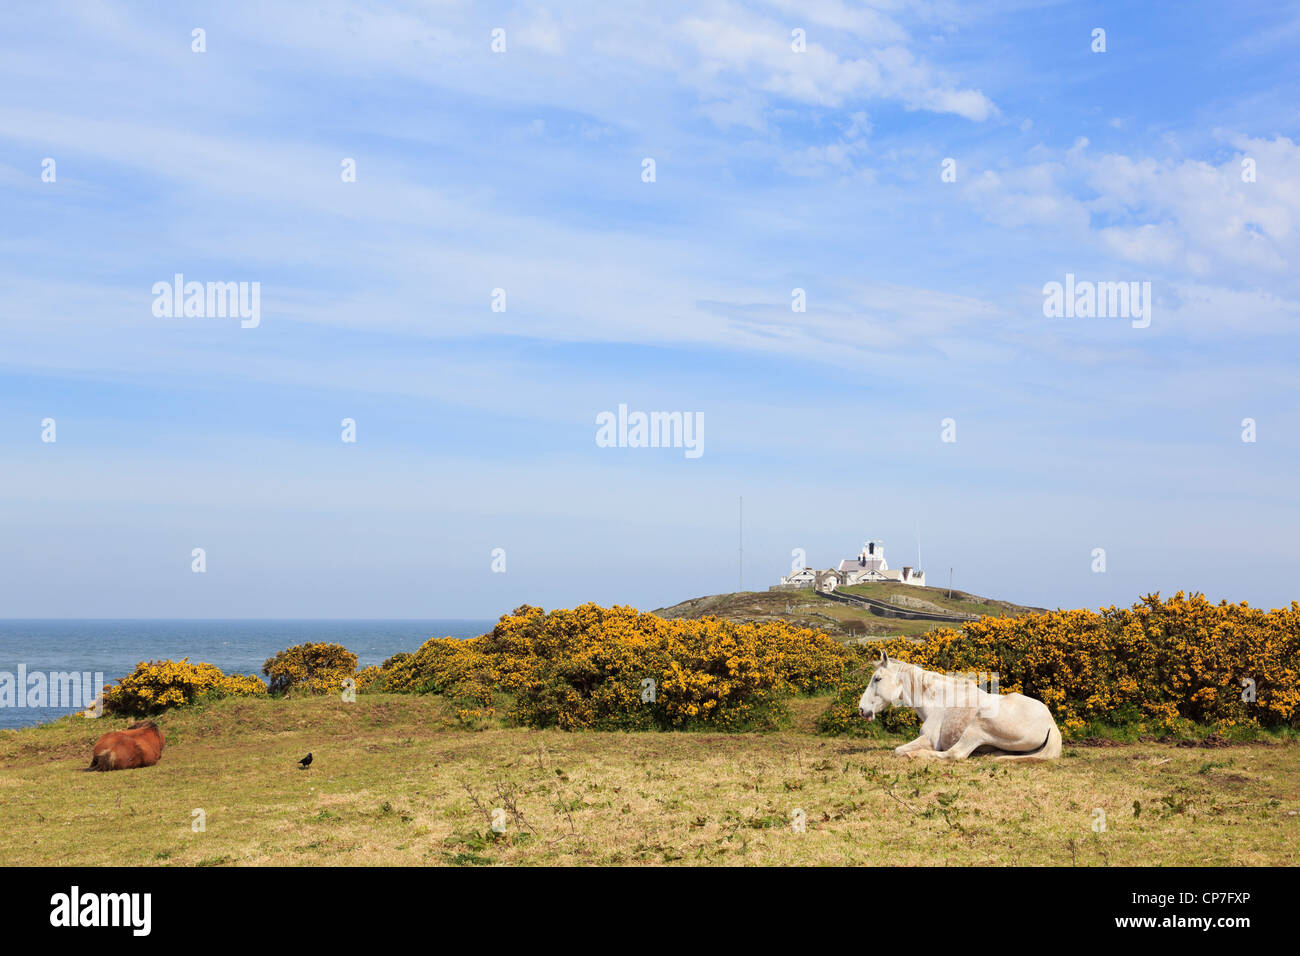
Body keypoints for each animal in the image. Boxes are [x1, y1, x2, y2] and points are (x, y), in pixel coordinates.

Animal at [858, 652, 1061, 761]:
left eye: (877, 679)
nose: (861, 710)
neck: (939, 701)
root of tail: (1050, 724)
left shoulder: (929, 740)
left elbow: (898, 750)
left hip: (977, 727)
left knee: (956, 754)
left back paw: (916, 755)